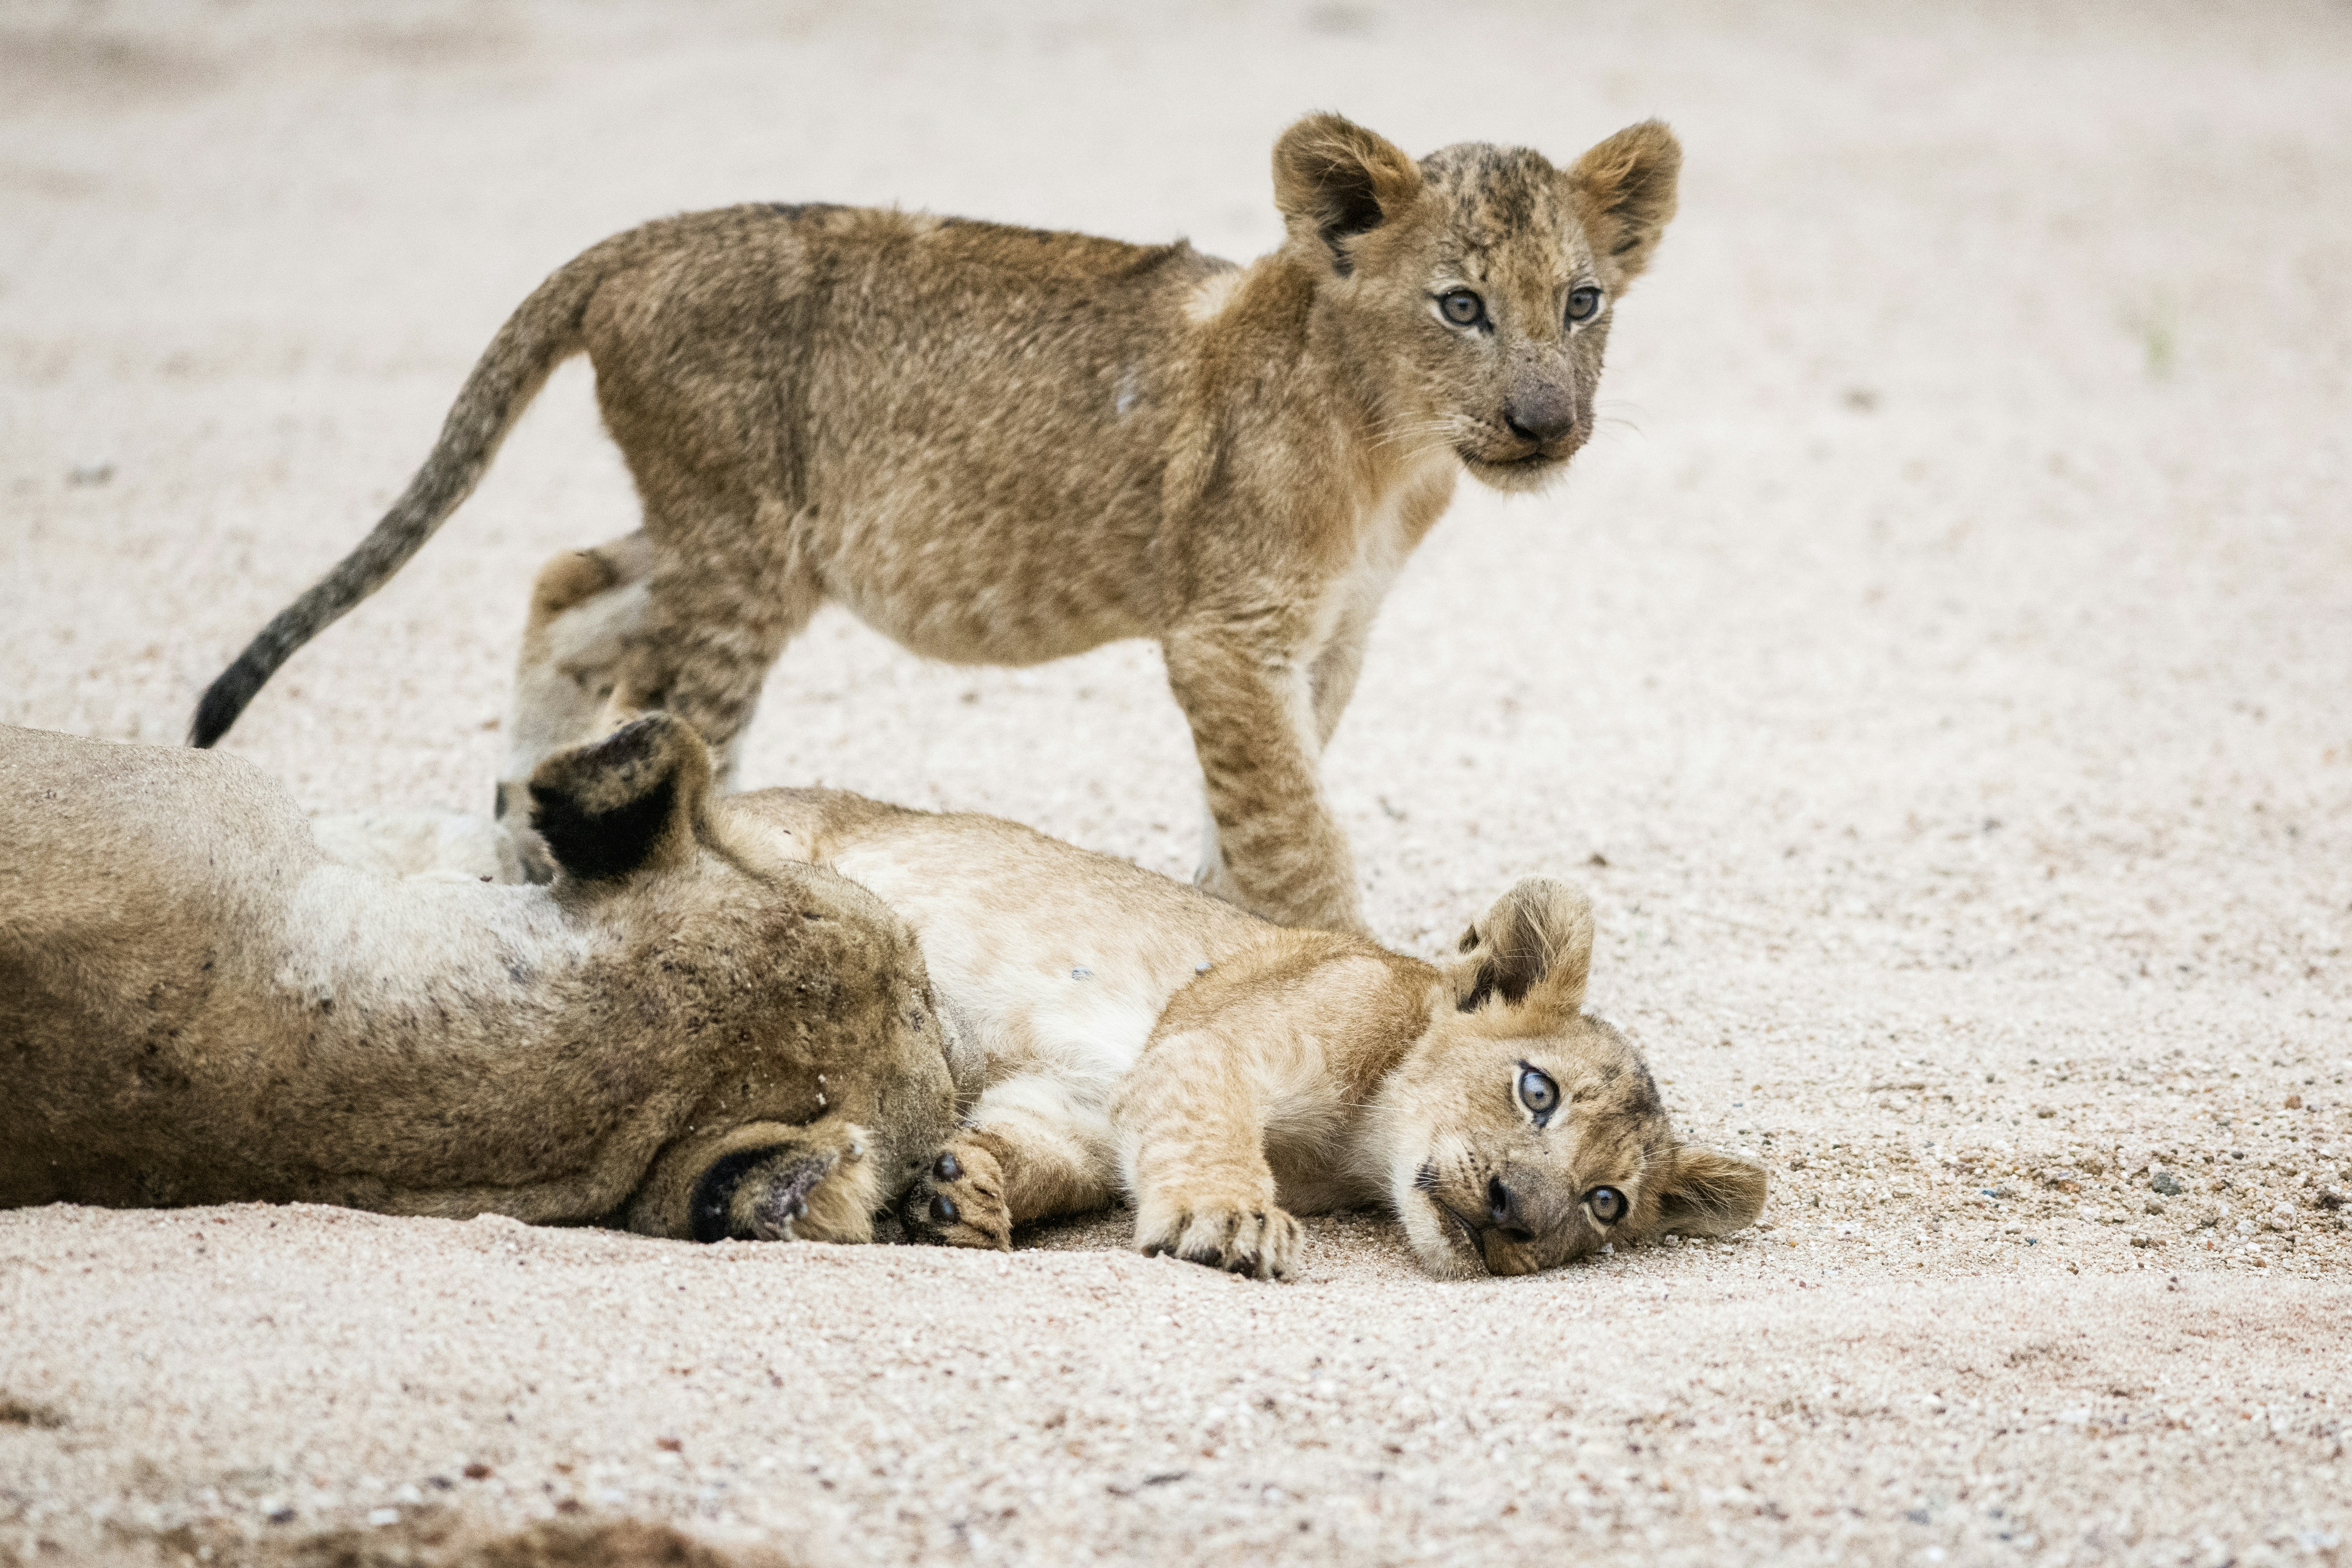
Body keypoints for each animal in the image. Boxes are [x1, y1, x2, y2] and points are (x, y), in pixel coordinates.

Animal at [188, 112, 1683, 936]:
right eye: (1459, 306)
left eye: (1579, 302)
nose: (1545, 423)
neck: (1392, 447)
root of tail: (641, 240)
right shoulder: (1228, 630)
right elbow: (1294, 825)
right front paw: (1344, 959)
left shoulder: (1326, 635)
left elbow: (1257, 802)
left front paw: (1224, 929)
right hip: (742, 552)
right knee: (671, 716)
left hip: (733, 535)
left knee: (570, 582)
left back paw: (513, 840)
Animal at [726, 788, 1765, 1280]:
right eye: (1535, 1091)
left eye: (1605, 1203)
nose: (1517, 1215)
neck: (1352, 1148)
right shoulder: (1215, 1037)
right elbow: (1211, 1126)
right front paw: (1229, 1219)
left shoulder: (1075, 1107)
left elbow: (1036, 1148)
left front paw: (965, 1195)